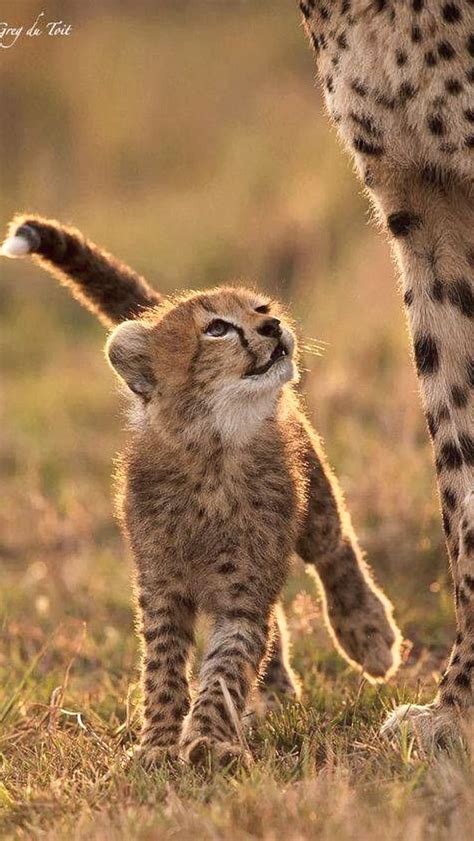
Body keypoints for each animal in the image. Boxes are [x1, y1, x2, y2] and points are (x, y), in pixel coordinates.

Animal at [2, 214, 401, 768]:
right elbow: (165, 668)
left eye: (260, 309)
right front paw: (159, 744)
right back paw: (274, 696)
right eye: (217, 328)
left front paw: (209, 739)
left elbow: (228, 663)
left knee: (333, 548)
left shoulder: (242, 588)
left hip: (316, 502)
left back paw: (366, 633)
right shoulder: (163, 587)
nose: (273, 327)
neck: (213, 446)